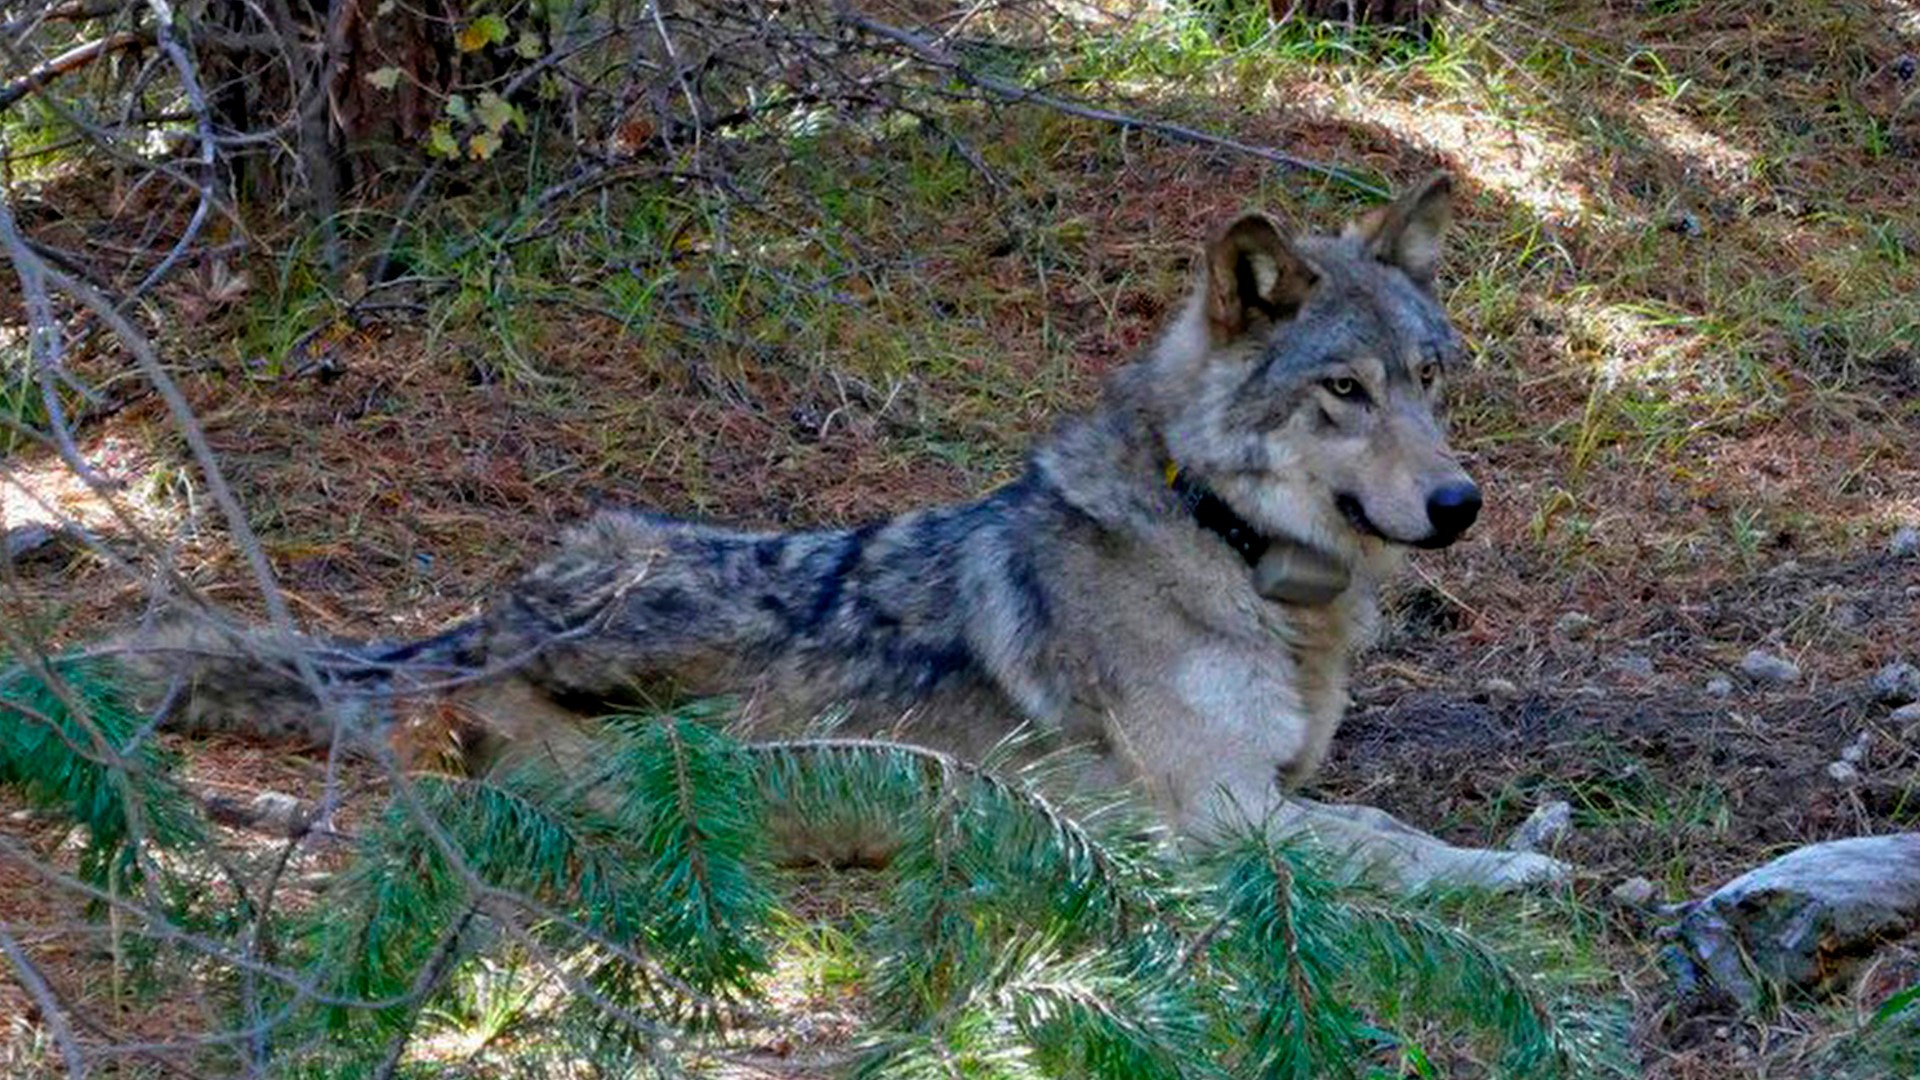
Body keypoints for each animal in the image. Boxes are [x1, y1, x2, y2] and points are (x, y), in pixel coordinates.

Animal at [135, 173, 1565, 891]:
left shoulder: (1273, 785)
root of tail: (470, 627)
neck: (1223, 545)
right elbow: (1393, 848)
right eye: (1345, 392)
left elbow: (1373, 814)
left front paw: (1532, 833)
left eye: (1430, 379)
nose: (1460, 504)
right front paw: (1510, 872)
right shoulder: (1217, 815)